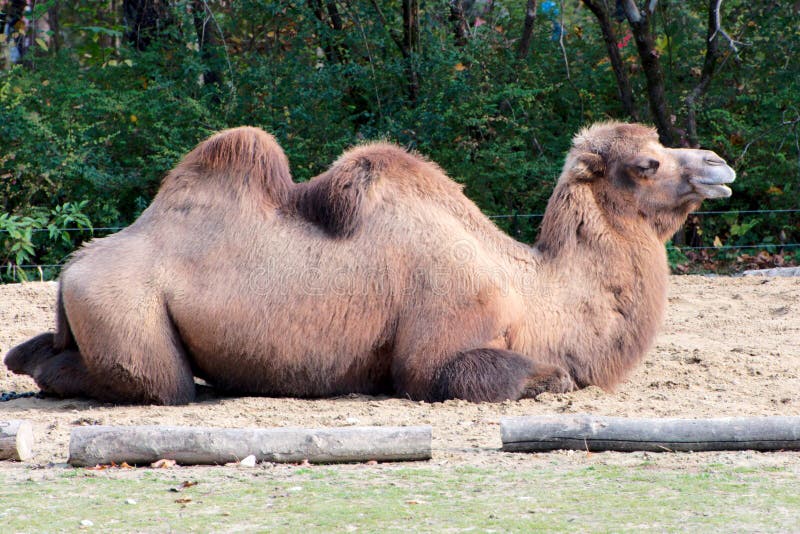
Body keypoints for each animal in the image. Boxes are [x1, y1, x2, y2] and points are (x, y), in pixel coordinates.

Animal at [5, 122, 736, 405]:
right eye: (647, 163)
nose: (718, 165)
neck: (534, 291)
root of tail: (71, 270)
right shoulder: (440, 346)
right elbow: (537, 376)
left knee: (44, 351)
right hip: (125, 309)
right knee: (159, 383)